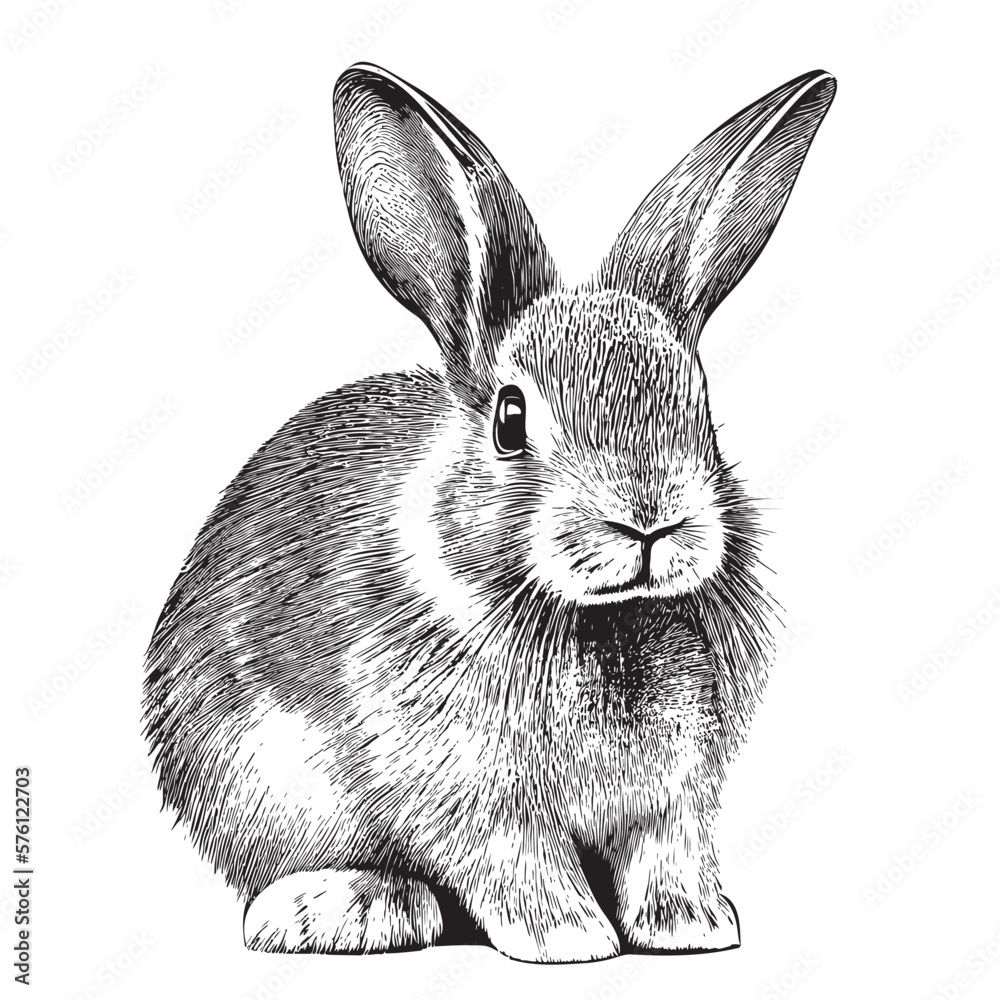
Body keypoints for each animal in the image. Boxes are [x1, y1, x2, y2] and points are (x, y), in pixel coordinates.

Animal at [143, 62, 835, 963]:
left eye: (704, 415)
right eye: (511, 420)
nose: (649, 520)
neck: (597, 618)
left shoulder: (675, 799)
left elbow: (668, 853)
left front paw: (693, 927)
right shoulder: (473, 794)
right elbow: (516, 859)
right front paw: (569, 938)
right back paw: (353, 907)